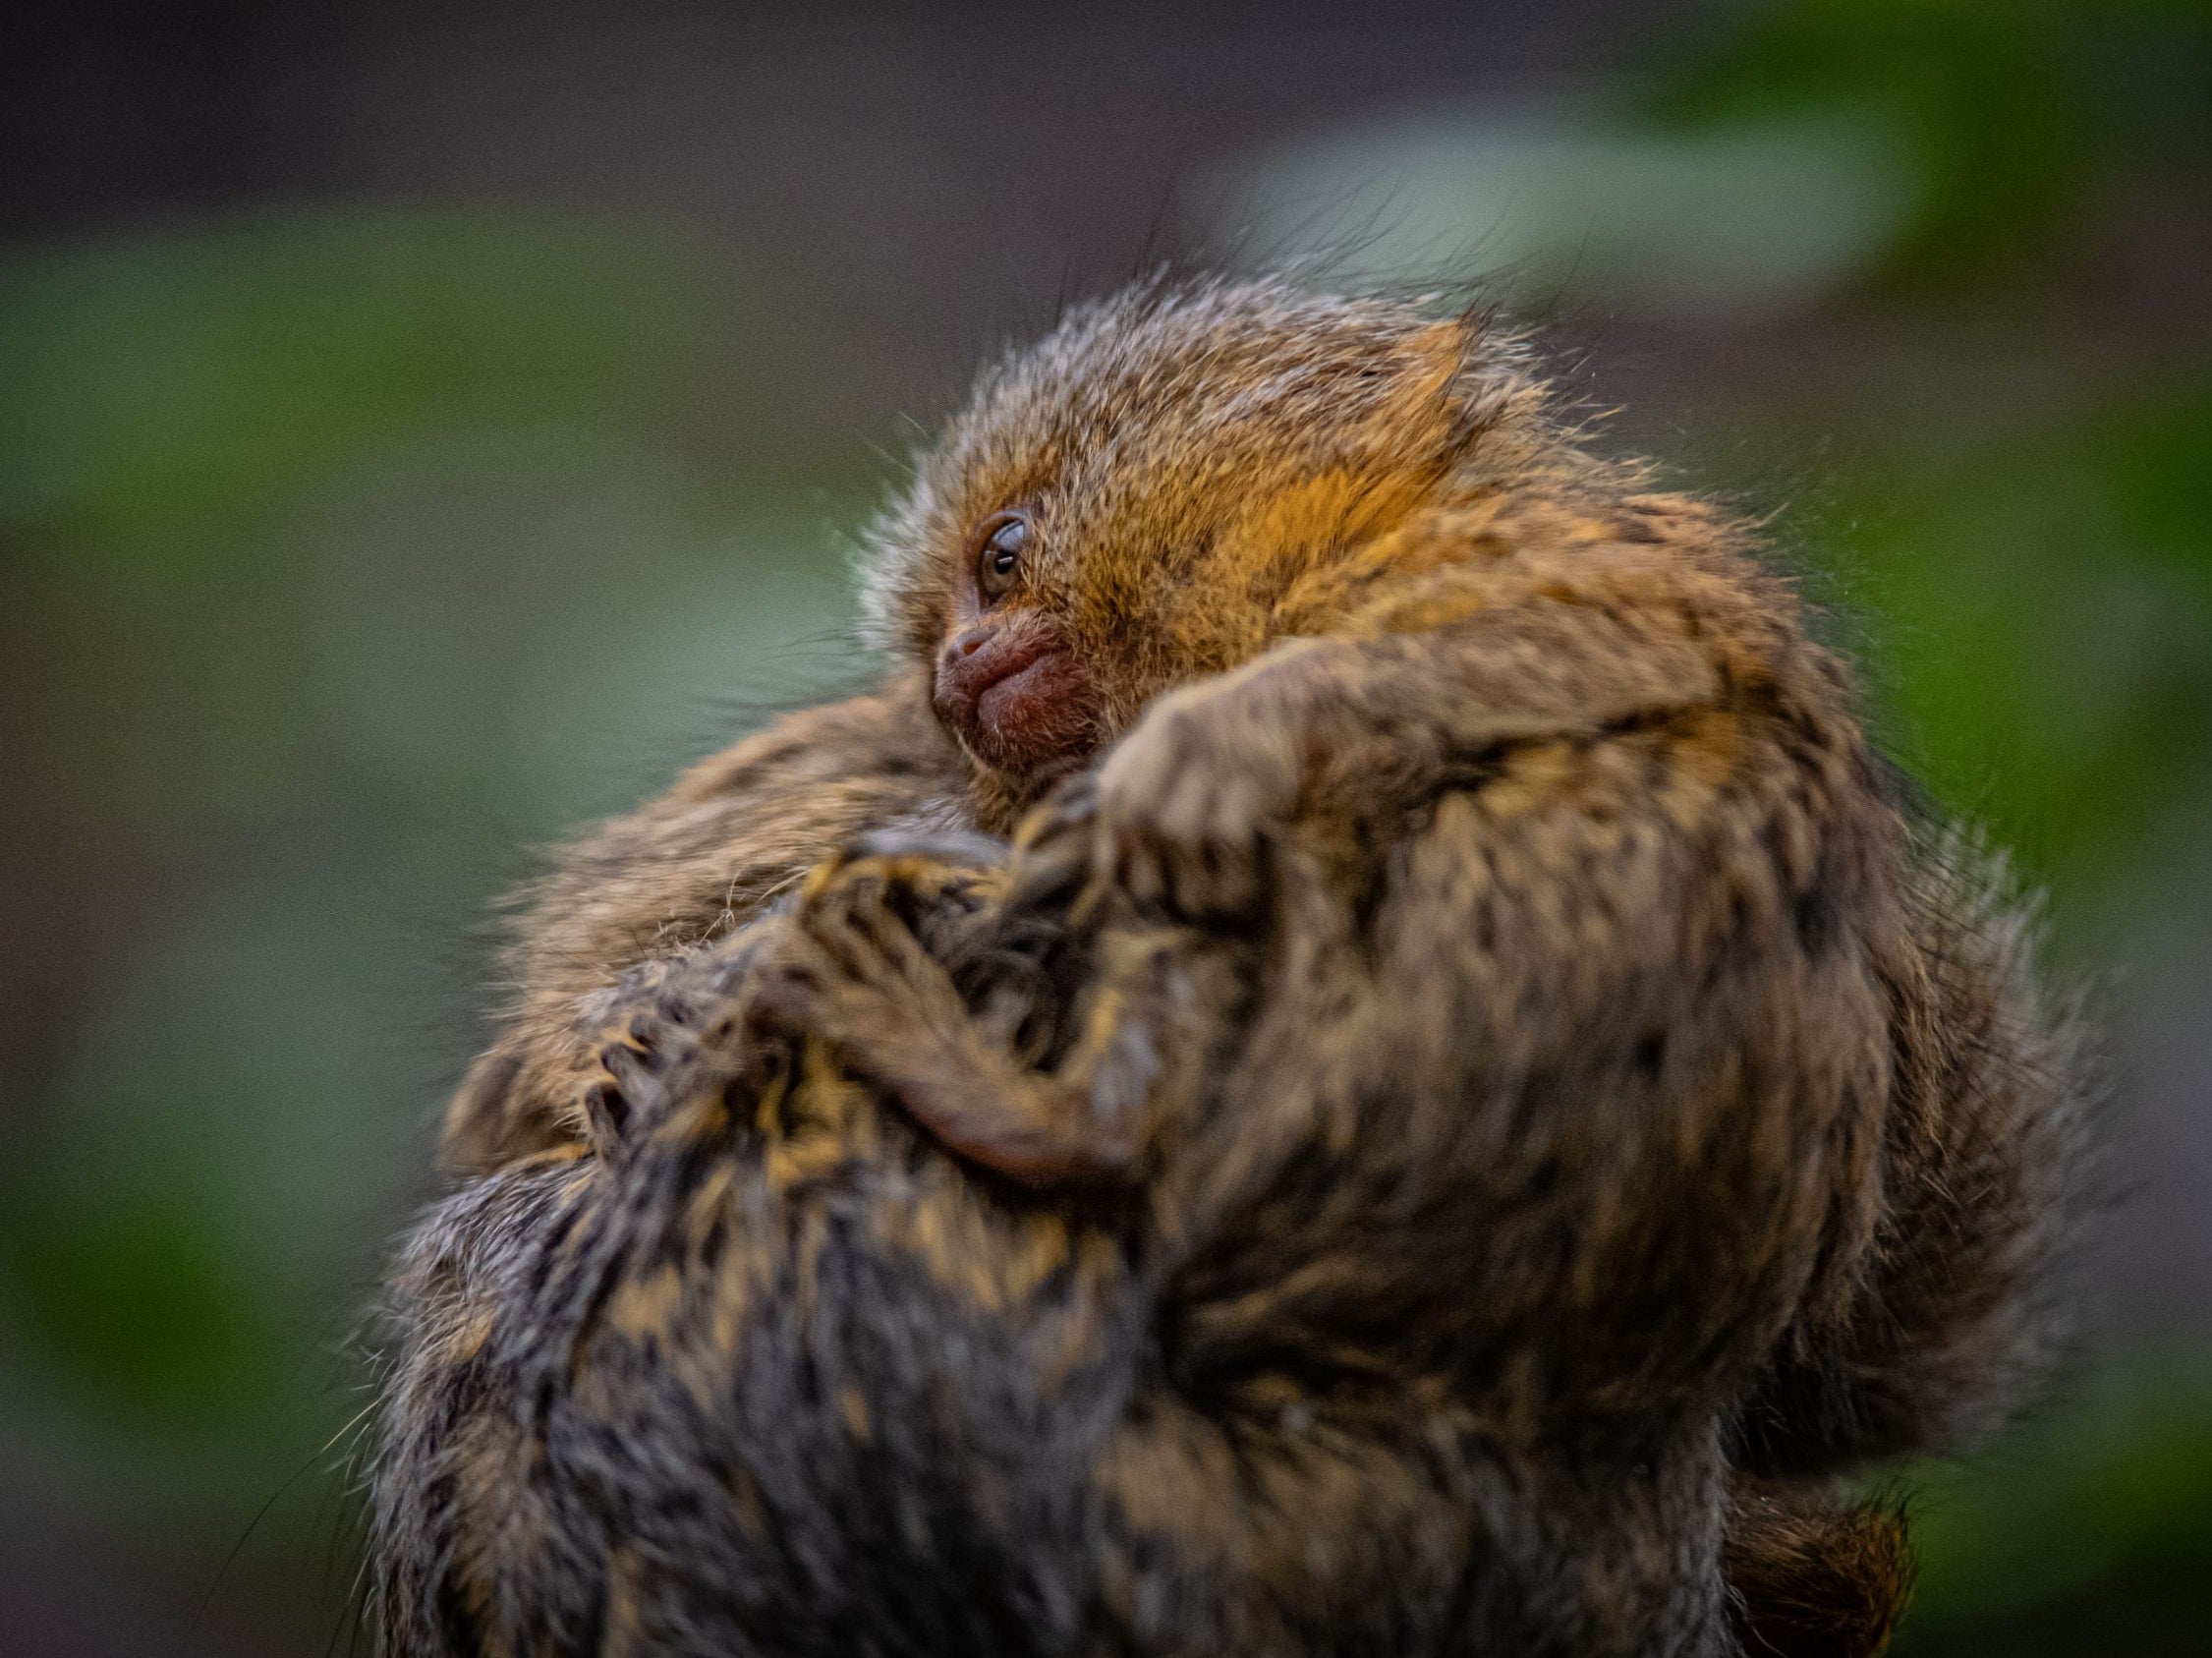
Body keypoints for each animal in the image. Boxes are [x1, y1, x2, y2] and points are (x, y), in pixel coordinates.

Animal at [381, 278, 2089, 1655]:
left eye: (1005, 556)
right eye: (941, 629)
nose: (953, 669)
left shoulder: (1573, 565)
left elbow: (1596, 628)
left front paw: (1221, 738)